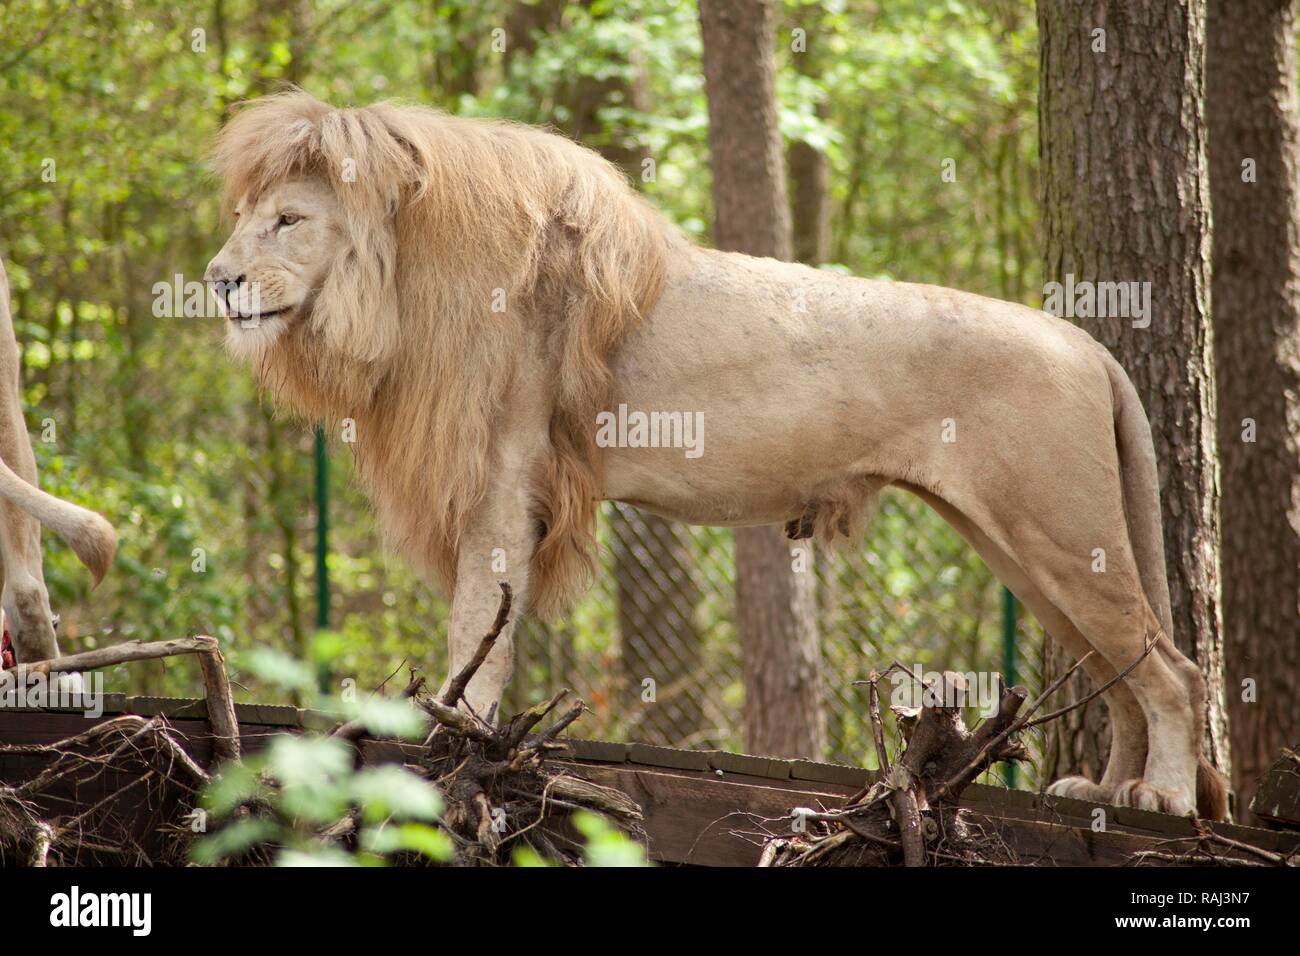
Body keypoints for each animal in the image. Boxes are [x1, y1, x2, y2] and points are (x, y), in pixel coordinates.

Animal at [206, 91, 1228, 820]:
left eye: (288, 221)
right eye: (249, 214)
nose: (214, 281)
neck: (405, 286)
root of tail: (1087, 341)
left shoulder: (505, 477)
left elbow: (475, 632)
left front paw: (460, 743)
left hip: (1057, 528)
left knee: (1175, 674)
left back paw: (1165, 797)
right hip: (1026, 546)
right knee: (1122, 678)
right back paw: (1107, 793)